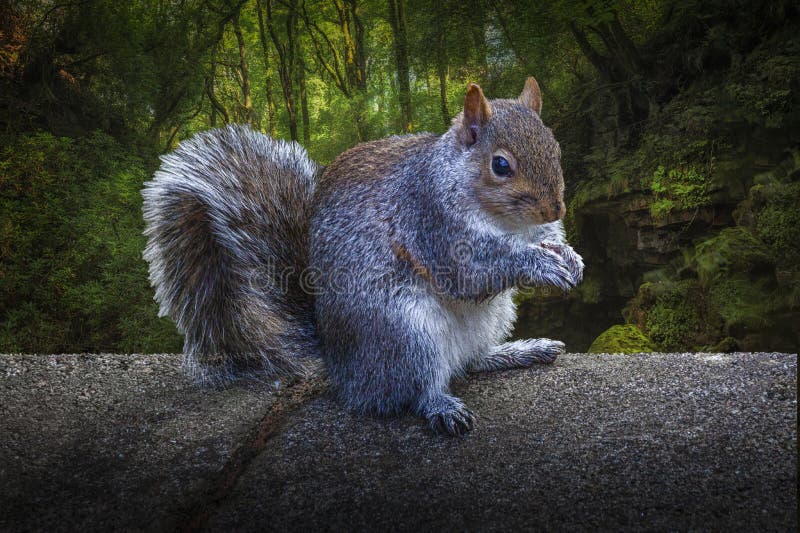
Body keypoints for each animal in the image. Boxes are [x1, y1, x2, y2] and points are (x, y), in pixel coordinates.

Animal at [142, 77, 584, 435]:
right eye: (501, 165)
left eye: (556, 148)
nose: (555, 209)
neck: (505, 223)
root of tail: (343, 370)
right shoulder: (429, 221)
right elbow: (471, 271)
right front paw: (537, 264)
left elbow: (544, 241)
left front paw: (570, 256)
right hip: (405, 334)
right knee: (415, 389)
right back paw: (441, 405)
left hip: (491, 317)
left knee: (471, 361)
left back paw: (517, 351)